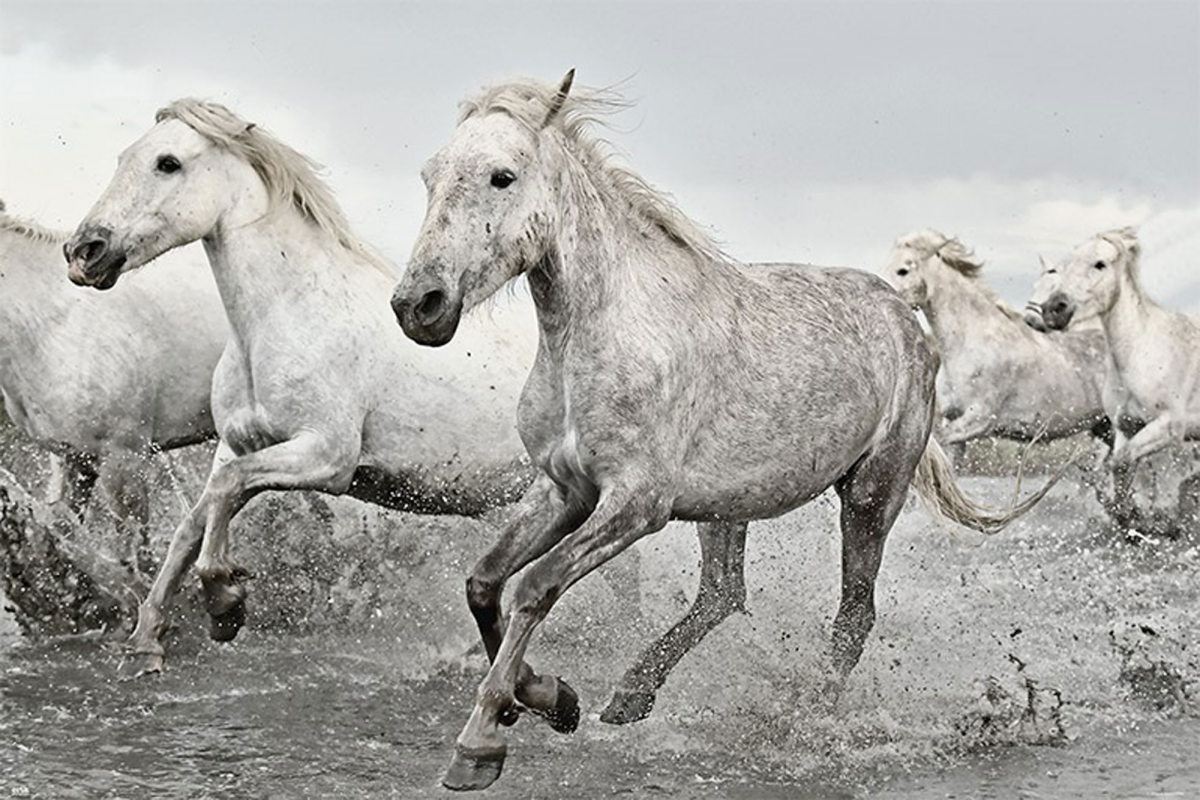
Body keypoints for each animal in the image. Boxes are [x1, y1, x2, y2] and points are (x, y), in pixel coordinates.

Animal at [62, 99, 542, 677]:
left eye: (168, 163)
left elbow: (225, 497)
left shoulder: (326, 457)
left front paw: (225, 603)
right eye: (124, 157)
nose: (84, 251)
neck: (282, 316)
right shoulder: (237, 447)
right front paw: (147, 643)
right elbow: (192, 527)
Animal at [391, 71, 1058, 791]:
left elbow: (534, 586)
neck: (602, 335)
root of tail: (907, 320)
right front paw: (553, 699)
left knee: (854, 613)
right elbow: (484, 582)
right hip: (726, 504)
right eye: (430, 175)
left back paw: (803, 723)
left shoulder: (636, 504)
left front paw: (482, 741)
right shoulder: (564, 489)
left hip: (871, 494)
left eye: (502, 176)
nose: (418, 306)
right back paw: (631, 696)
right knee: (722, 594)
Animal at [1025, 226, 1200, 527]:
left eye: (1100, 264)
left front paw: (1143, 518)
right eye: (1064, 266)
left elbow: (1123, 464)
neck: (1141, 352)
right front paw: (1127, 515)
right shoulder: (1125, 427)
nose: (1054, 309)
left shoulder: (1167, 427)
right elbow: (1120, 468)